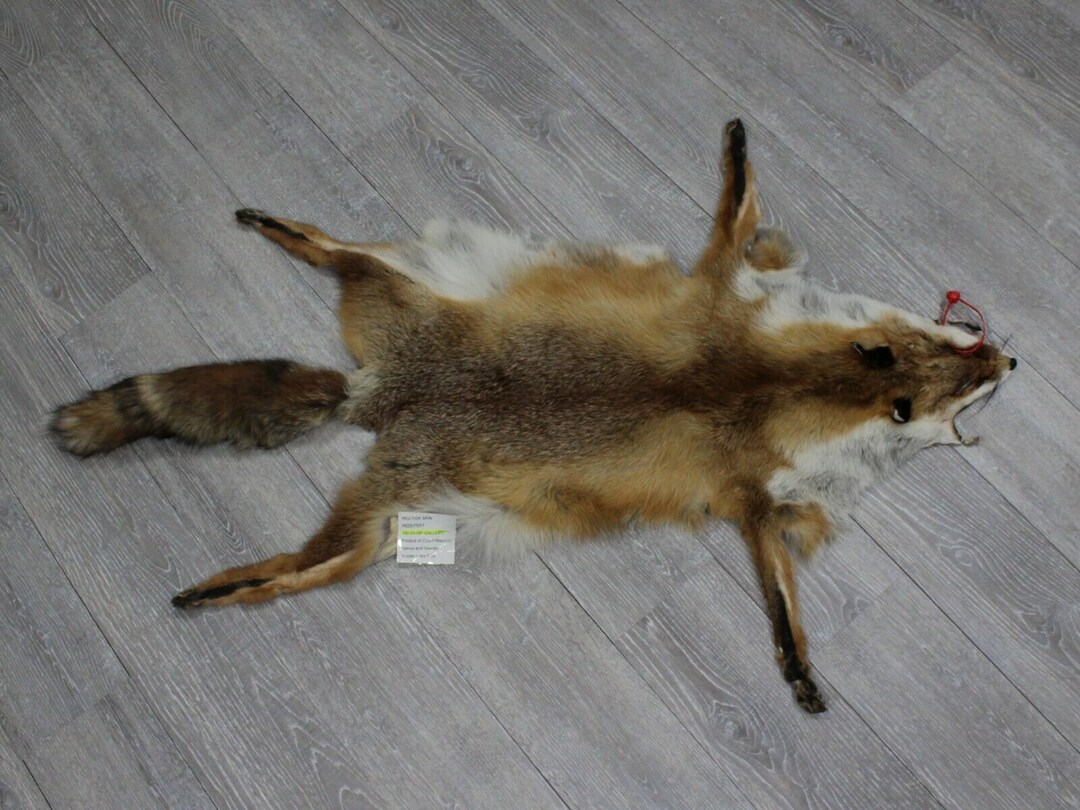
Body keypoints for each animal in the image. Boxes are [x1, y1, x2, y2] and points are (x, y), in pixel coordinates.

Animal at [51, 120, 1015, 713]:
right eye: (957, 363)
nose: (1010, 360)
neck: (779, 379)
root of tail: (369, 394)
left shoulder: (754, 486)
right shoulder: (731, 327)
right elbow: (736, 204)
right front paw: (799, 670)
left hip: (385, 429)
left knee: (329, 258)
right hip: (373, 518)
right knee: (291, 570)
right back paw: (216, 589)